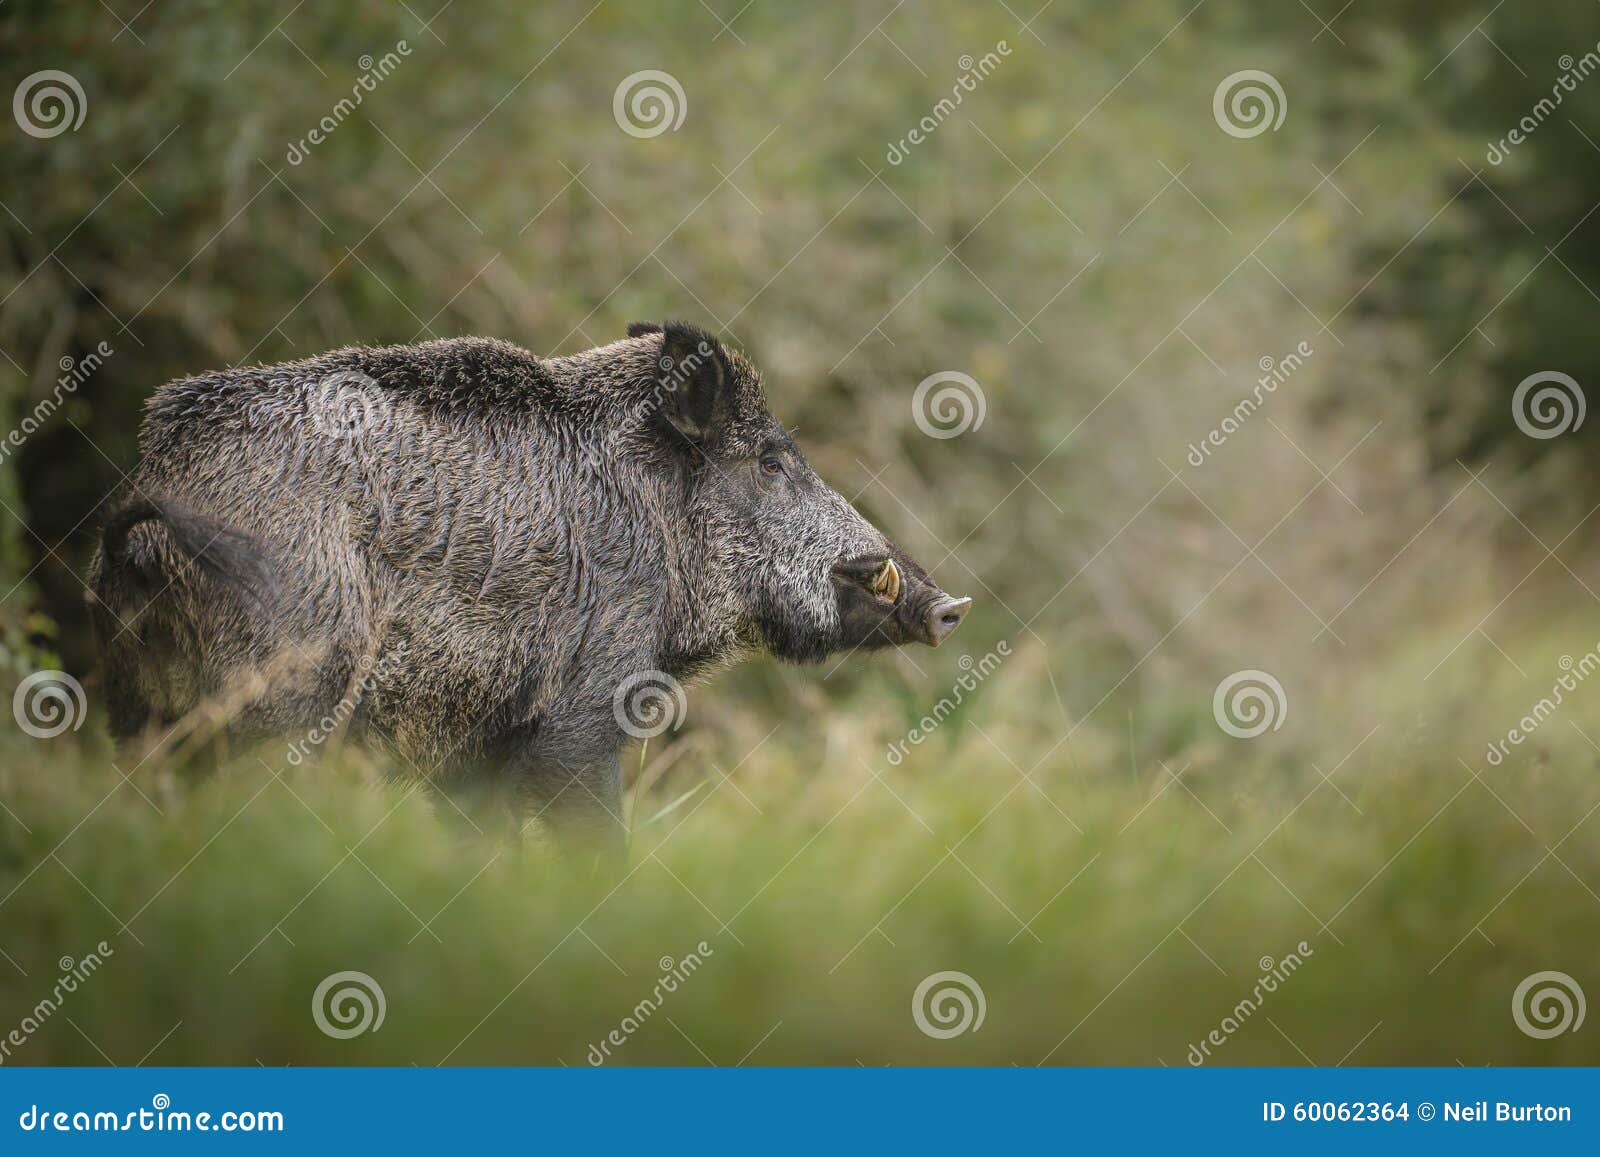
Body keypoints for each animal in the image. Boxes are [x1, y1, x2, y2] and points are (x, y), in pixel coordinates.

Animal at [88, 321, 971, 846]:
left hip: (137, 702)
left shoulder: (479, 743)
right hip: (282, 685)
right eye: (772, 461)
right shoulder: (582, 701)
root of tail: (151, 503)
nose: (948, 605)